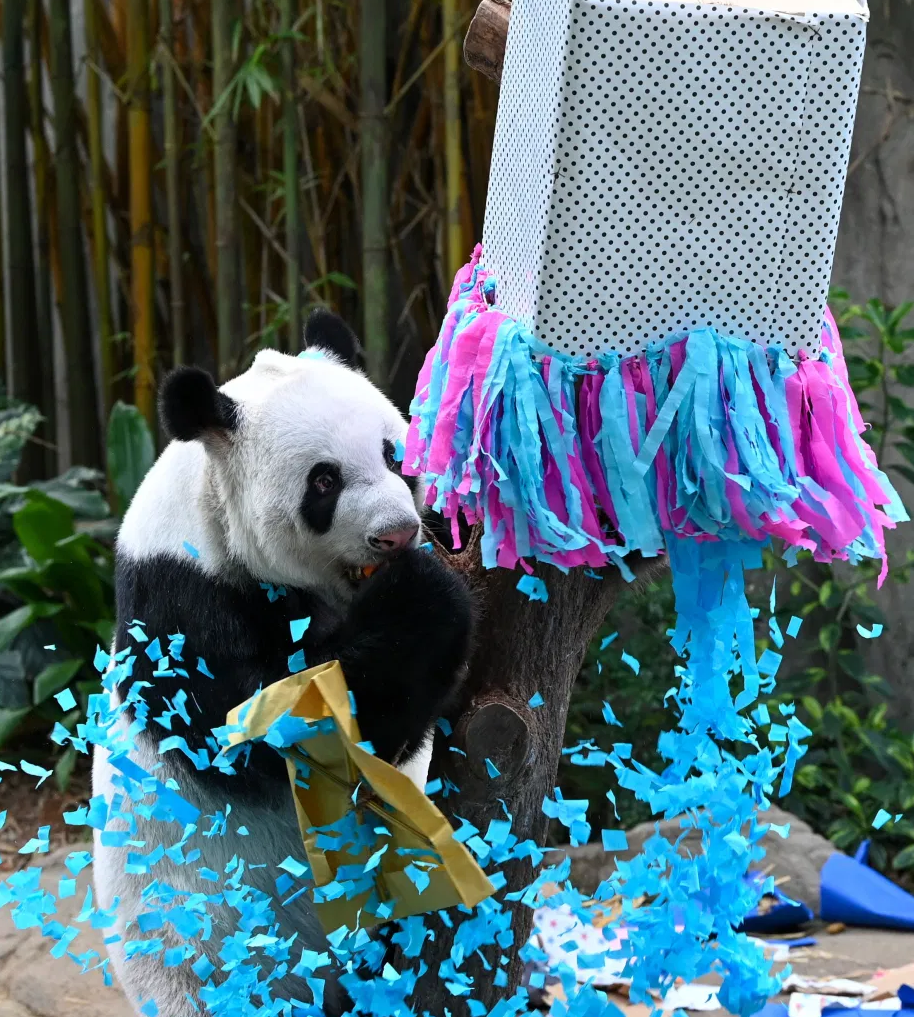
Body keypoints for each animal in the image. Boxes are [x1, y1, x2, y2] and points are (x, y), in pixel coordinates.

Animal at [91, 309, 474, 1017]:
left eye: (392, 455)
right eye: (324, 481)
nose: (397, 534)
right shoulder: (178, 605)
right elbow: (282, 738)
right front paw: (425, 597)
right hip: (211, 963)